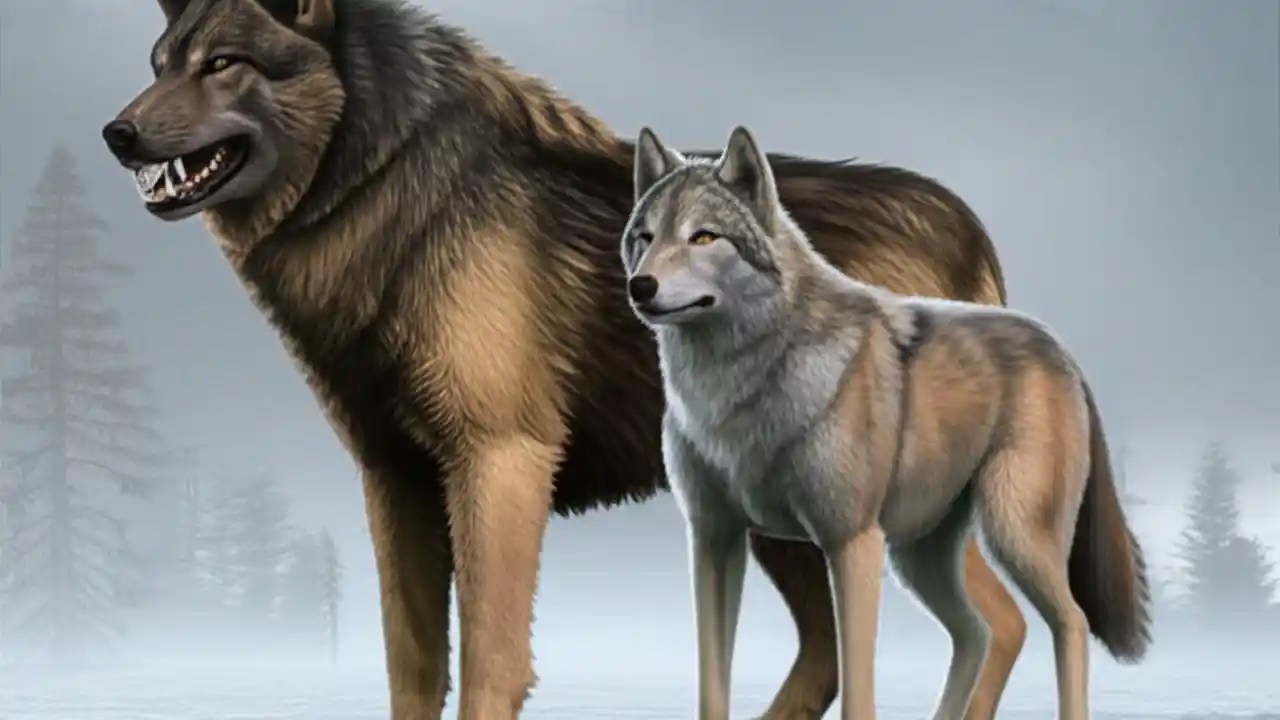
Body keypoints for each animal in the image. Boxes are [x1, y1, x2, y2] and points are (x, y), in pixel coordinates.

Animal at [101, 1, 1031, 718]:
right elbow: (414, 671)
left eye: (224, 64)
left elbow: (489, 668)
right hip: (787, 524)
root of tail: (966, 222)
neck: (392, 196)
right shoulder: (394, 481)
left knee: (997, 623)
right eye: (160, 63)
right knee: (843, 650)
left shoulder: (499, 464)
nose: (117, 134)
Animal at [622, 125, 1153, 720]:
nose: (640, 286)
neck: (737, 390)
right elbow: (712, 686)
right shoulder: (715, 537)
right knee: (978, 631)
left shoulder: (850, 542)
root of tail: (1058, 347)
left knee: (1070, 623)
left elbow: (857, 687)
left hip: (1012, 535)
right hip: (919, 559)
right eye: (644, 236)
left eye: (704, 237)